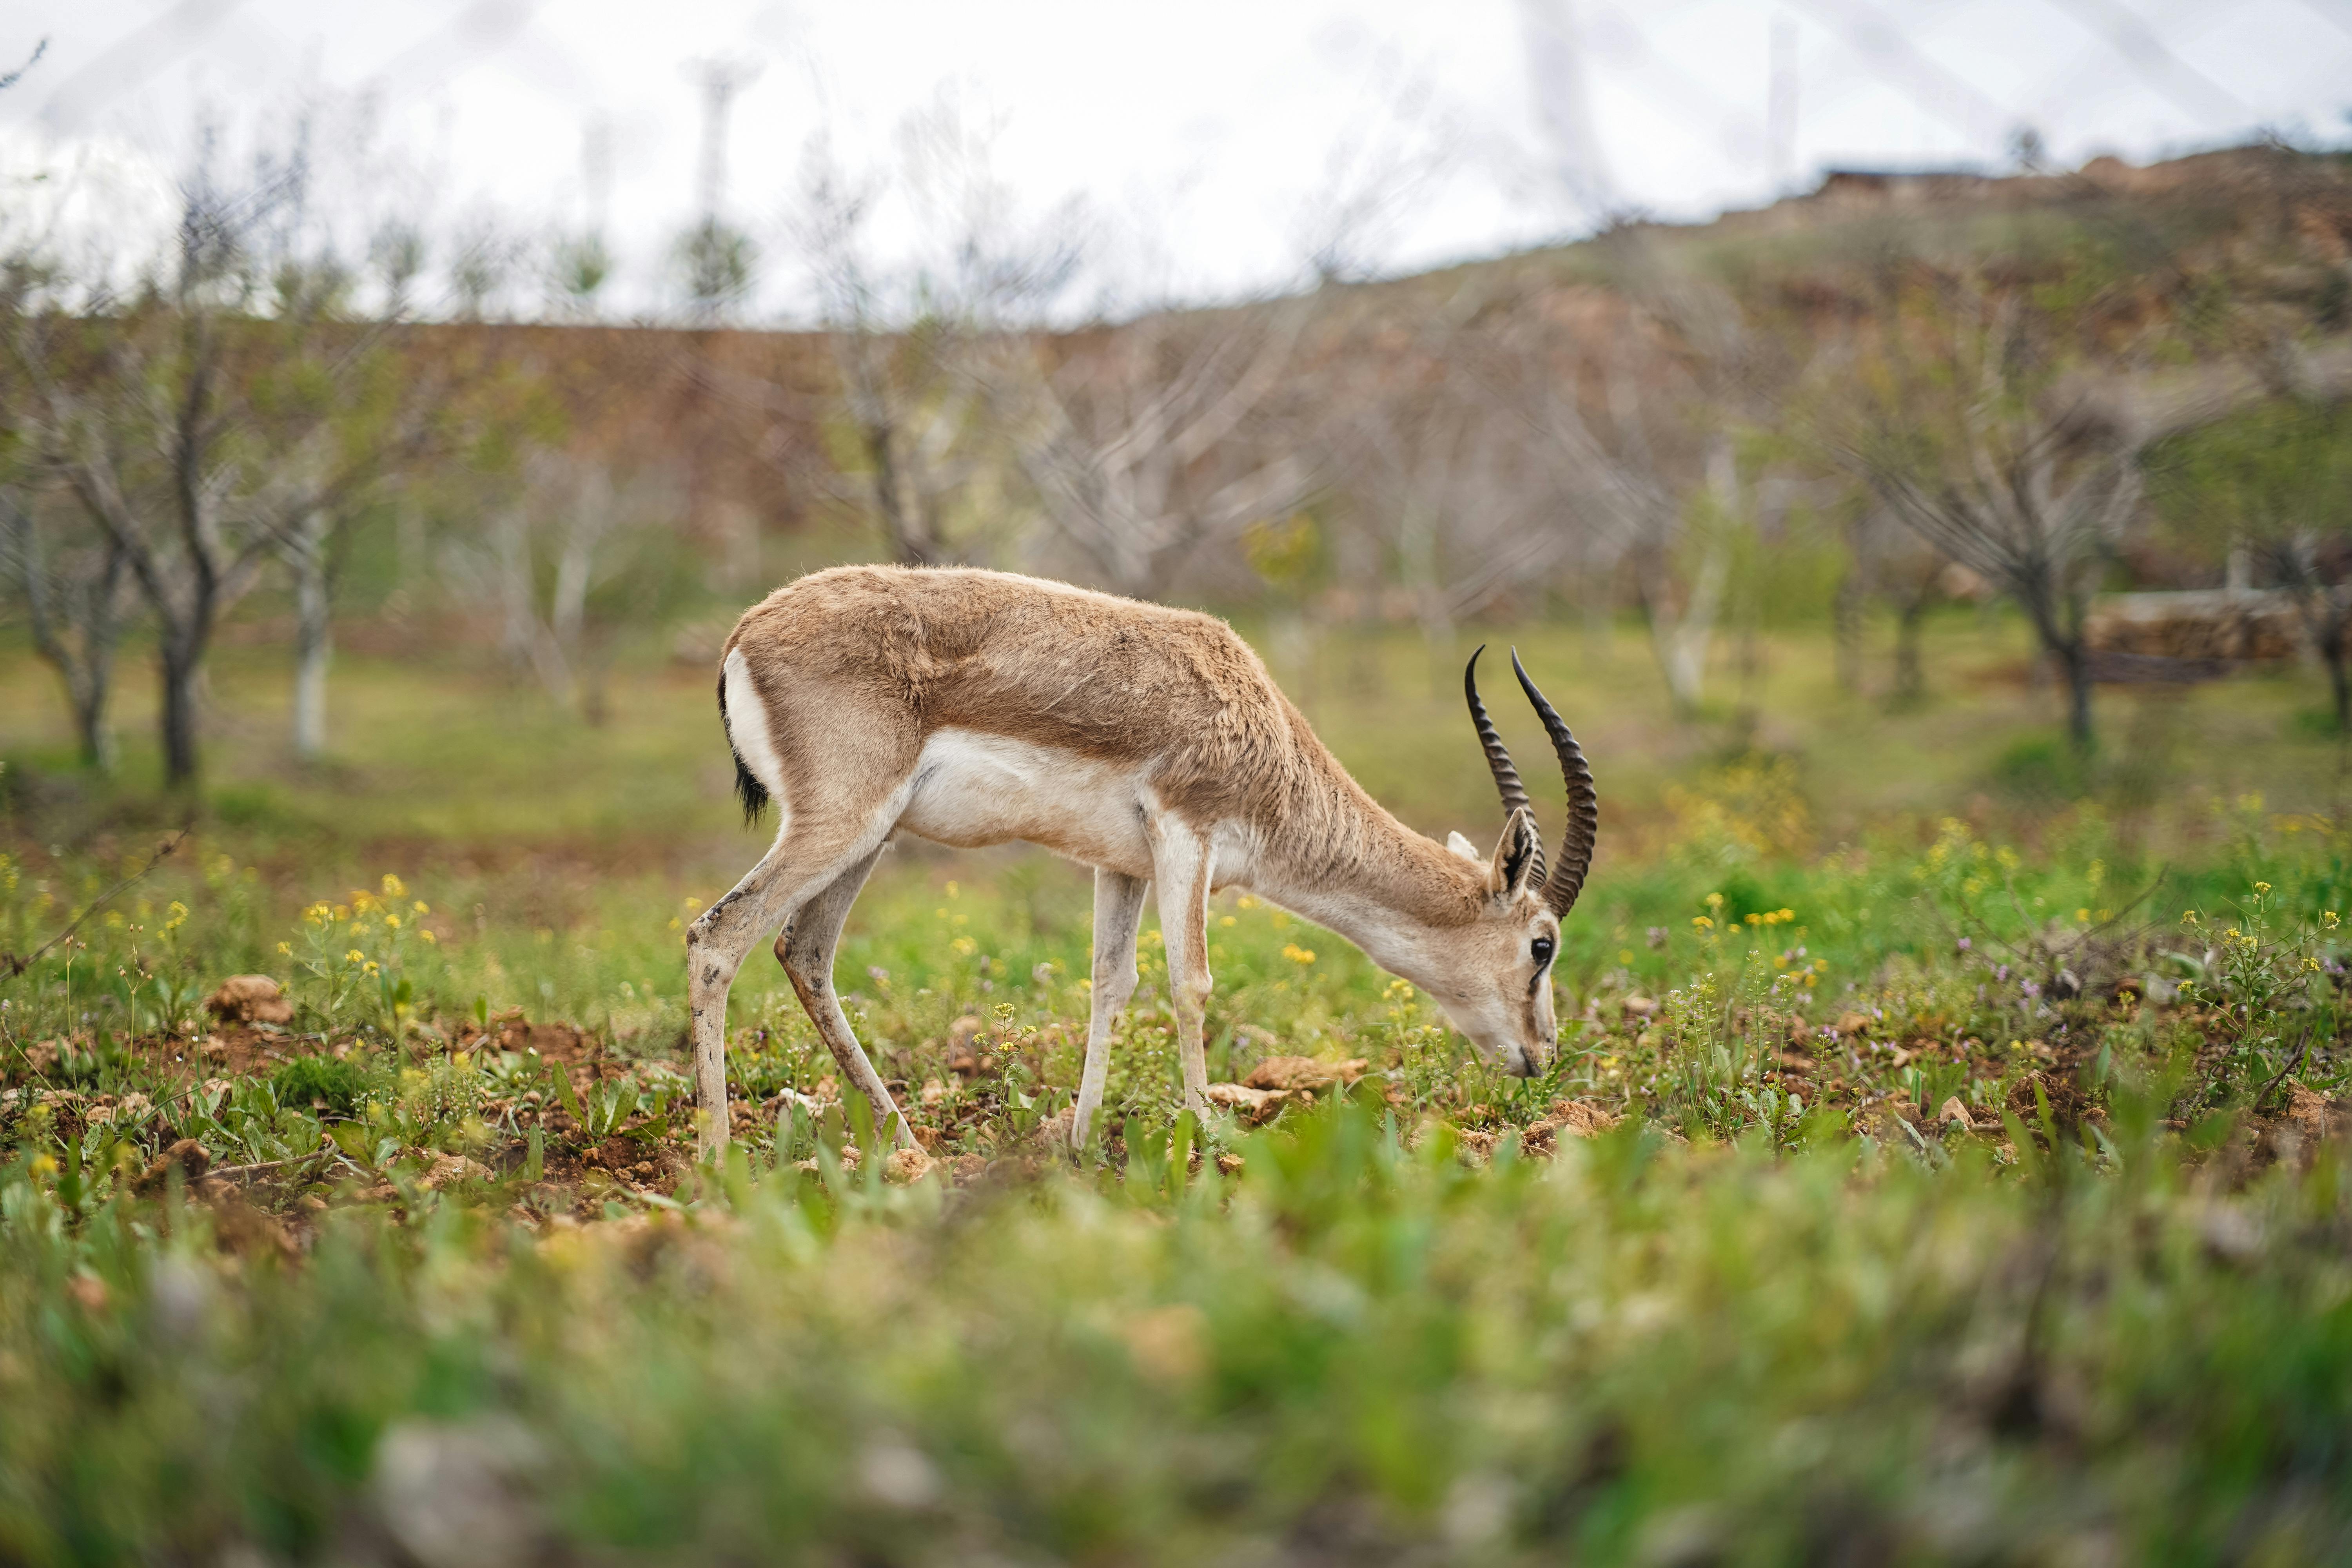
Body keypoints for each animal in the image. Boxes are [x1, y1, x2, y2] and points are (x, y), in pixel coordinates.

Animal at [689, 564, 1597, 1155]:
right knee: (718, 936)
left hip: (867, 839)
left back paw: (908, 1143)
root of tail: (746, 631)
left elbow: (1110, 984)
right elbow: (1191, 984)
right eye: (1541, 945)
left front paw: (1082, 1144)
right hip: (840, 825)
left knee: (803, 952)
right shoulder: (1184, 834)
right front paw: (1209, 1135)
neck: (1262, 730)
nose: (1541, 1056)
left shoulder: (1121, 863)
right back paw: (719, 1162)